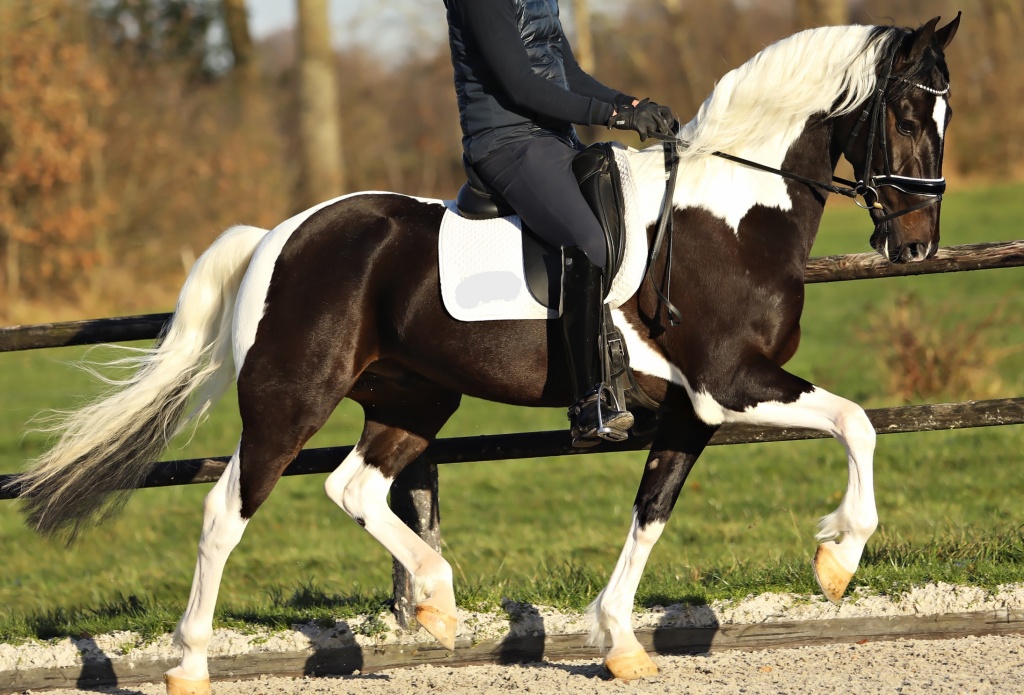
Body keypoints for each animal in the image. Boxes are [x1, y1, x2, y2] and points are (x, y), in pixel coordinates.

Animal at [11, 15, 959, 692]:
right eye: (911, 112)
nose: (915, 246)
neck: (728, 214)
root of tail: (280, 235)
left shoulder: (695, 407)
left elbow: (652, 511)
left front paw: (619, 640)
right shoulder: (734, 383)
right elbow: (858, 422)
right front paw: (837, 560)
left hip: (414, 396)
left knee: (356, 487)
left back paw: (436, 601)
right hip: (289, 398)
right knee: (225, 511)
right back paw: (189, 664)